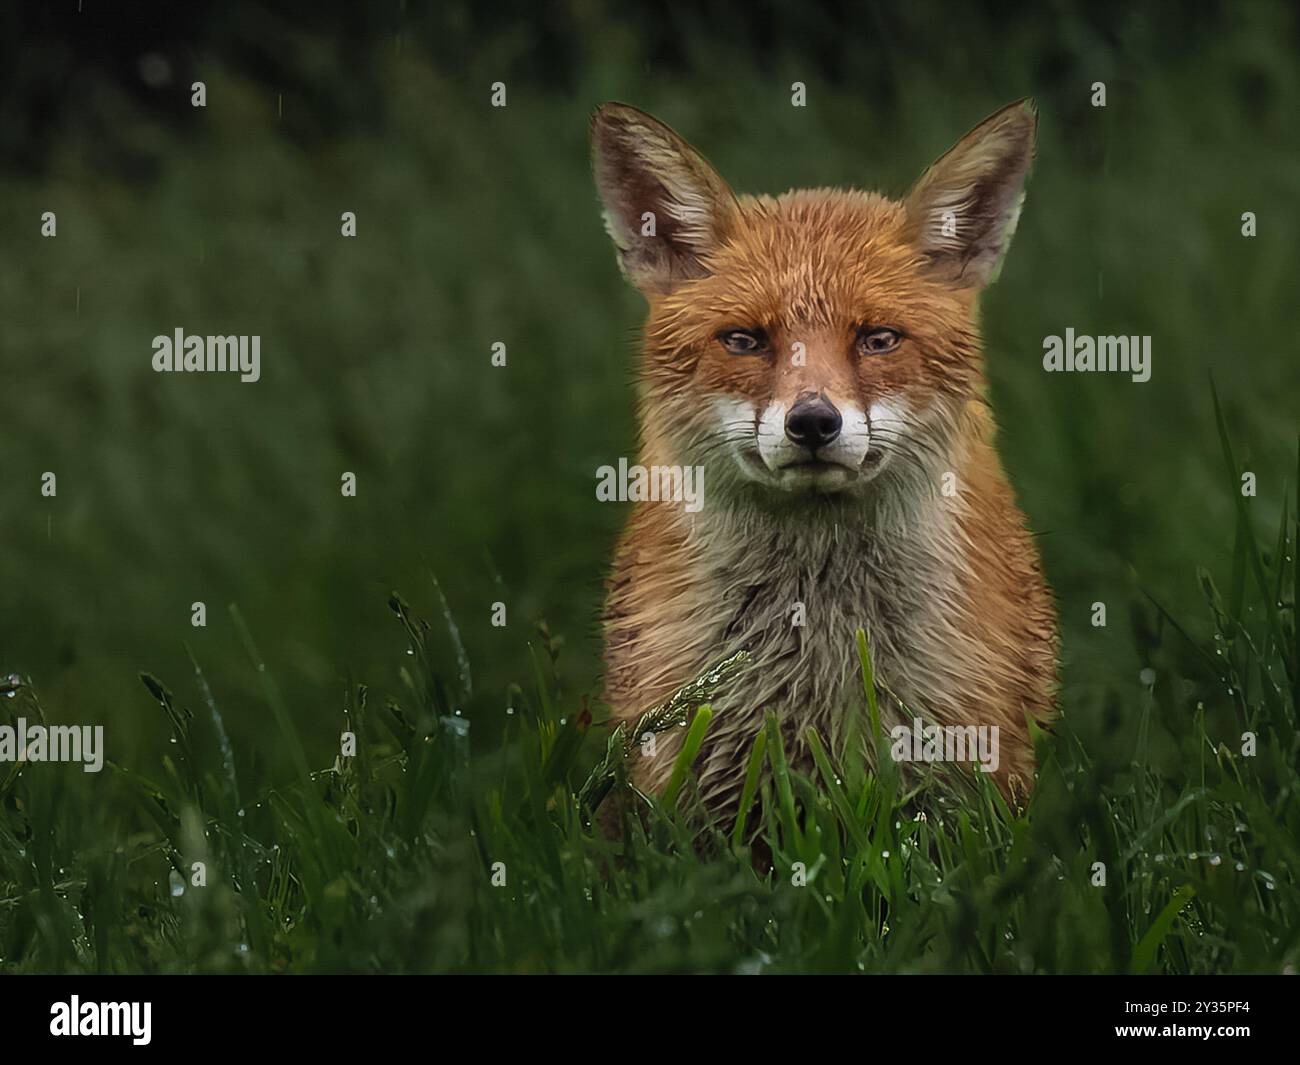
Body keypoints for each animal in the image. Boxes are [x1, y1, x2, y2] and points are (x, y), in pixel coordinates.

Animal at [591, 100, 1058, 820]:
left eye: (878, 339)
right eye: (745, 340)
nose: (813, 421)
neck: (817, 643)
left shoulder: (965, 774)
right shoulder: (690, 782)